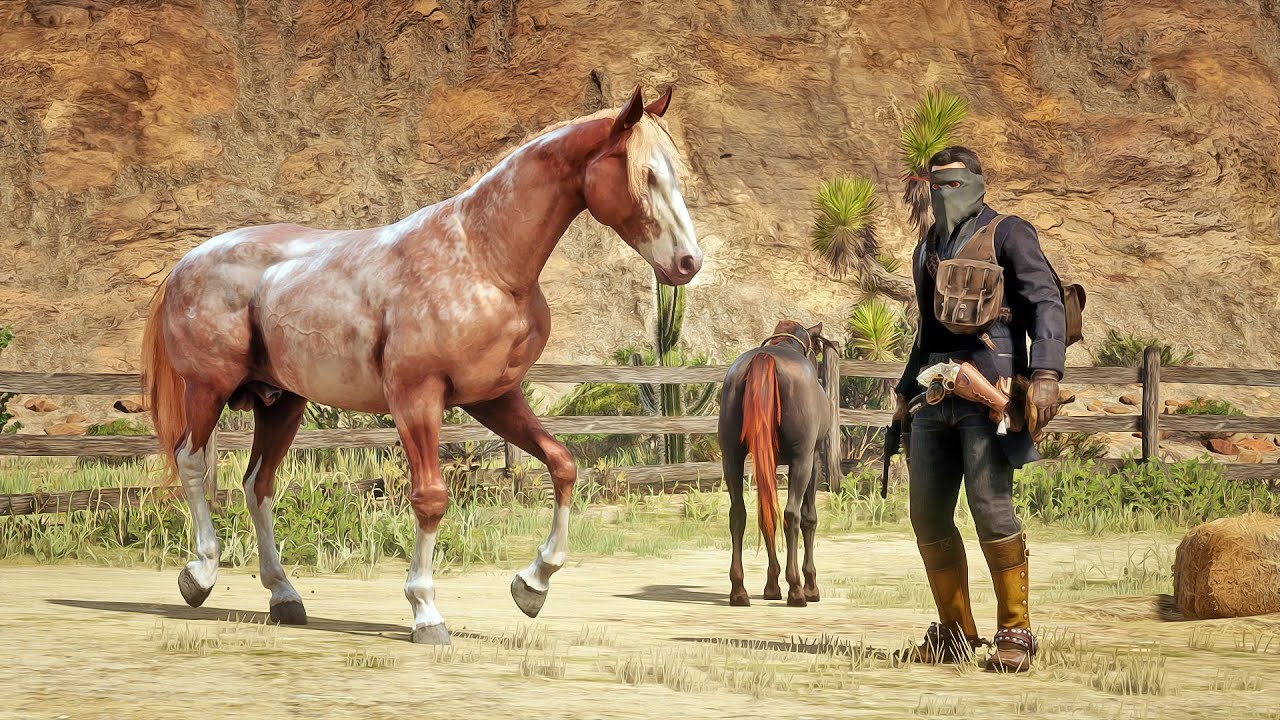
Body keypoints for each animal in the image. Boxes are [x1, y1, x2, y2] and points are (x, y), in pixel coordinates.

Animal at [140, 86, 702, 645]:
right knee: (192, 461)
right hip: (208, 389)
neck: (484, 260)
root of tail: (186, 262)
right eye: (646, 174)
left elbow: (562, 465)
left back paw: (285, 596)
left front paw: (532, 585)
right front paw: (427, 613)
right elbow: (430, 497)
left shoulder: (494, 398)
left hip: (282, 404)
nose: (689, 263)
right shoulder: (416, 397)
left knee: (258, 486)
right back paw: (200, 575)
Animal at [717, 320, 840, 607]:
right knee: (792, 515)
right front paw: (810, 585)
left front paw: (771, 586)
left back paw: (739, 590)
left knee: (738, 514)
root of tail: (765, 358)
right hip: (802, 460)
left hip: (731, 457)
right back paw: (796, 589)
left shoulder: (769, 463)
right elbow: (808, 518)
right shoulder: (812, 460)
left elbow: (766, 516)